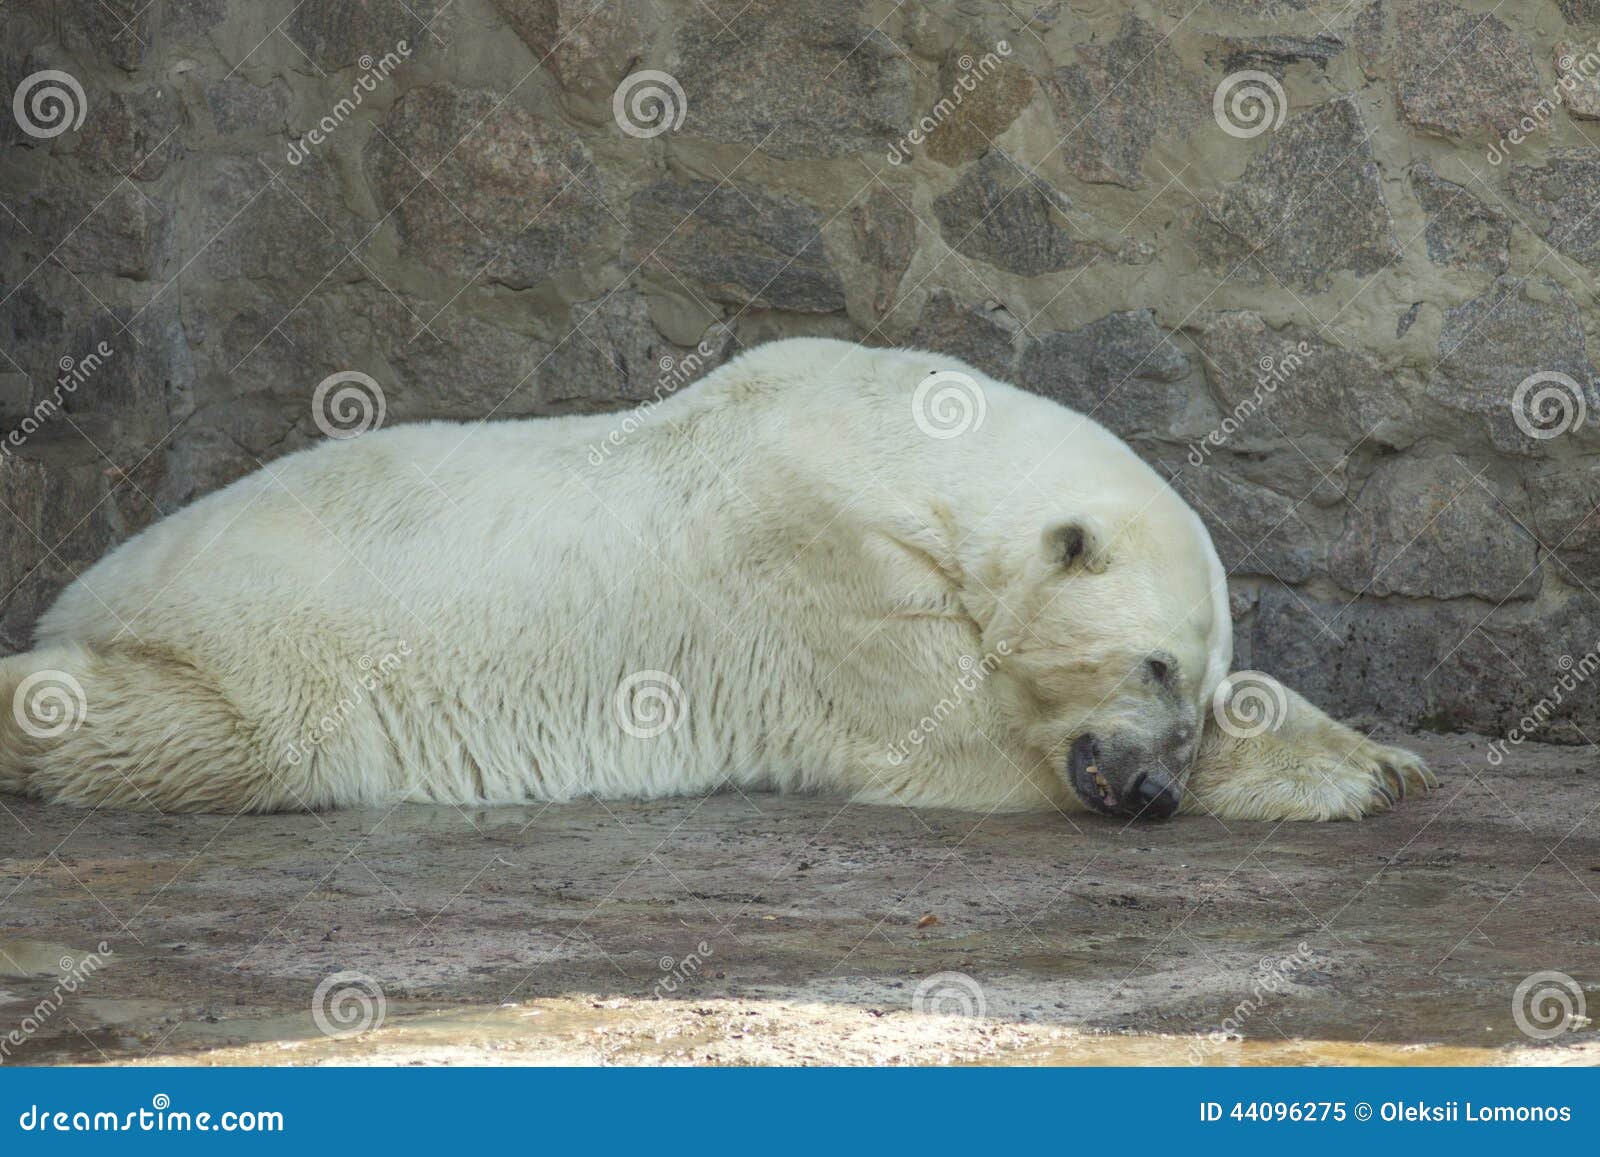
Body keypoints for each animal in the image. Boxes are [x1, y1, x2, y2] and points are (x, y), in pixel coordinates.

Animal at [0, 338, 1432, 820]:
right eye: (1151, 663)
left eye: (1195, 676)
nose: (1145, 791)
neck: (895, 440)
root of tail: (95, 588)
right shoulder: (828, 575)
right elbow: (965, 737)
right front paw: (1350, 772)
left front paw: (1382, 753)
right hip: (278, 651)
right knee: (191, 733)